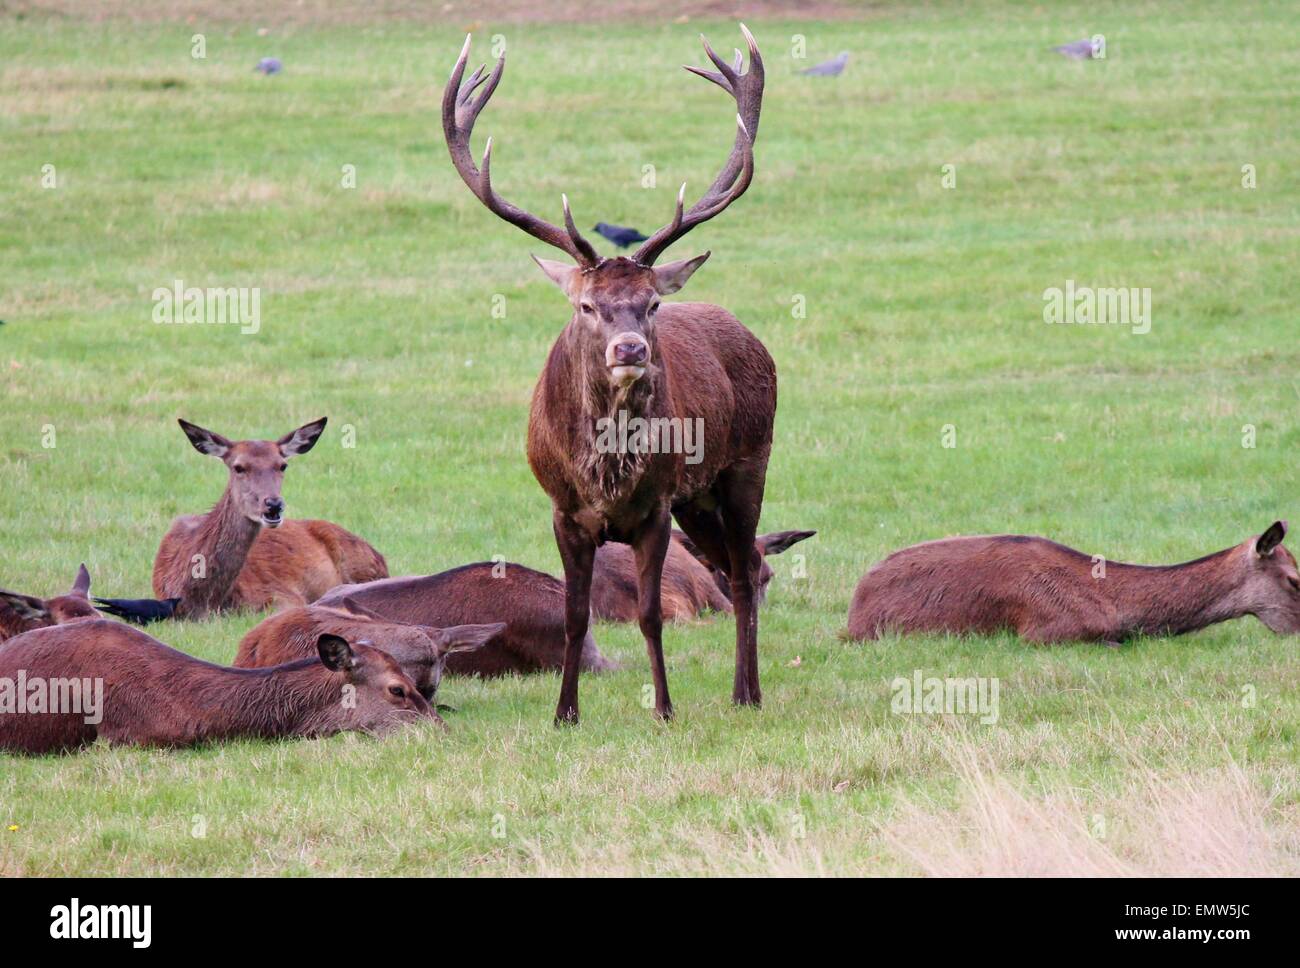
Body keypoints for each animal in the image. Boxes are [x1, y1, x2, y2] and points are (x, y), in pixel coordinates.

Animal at [95, 418, 388, 623]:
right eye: (238, 467)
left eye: (282, 465)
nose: (273, 504)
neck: (204, 599)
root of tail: (379, 555)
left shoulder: (285, 595)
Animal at [443, 25, 776, 723]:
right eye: (587, 306)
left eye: (651, 303)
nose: (630, 350)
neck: (605, 476)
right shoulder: (562, 510)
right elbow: (575, 617)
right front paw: (564, 714)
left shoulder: (655, 507)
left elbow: (650, 615)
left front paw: (664, 709)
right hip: (698, 499)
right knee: (740, 565)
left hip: (746, 462)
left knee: (745, 567)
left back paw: (747, 692)